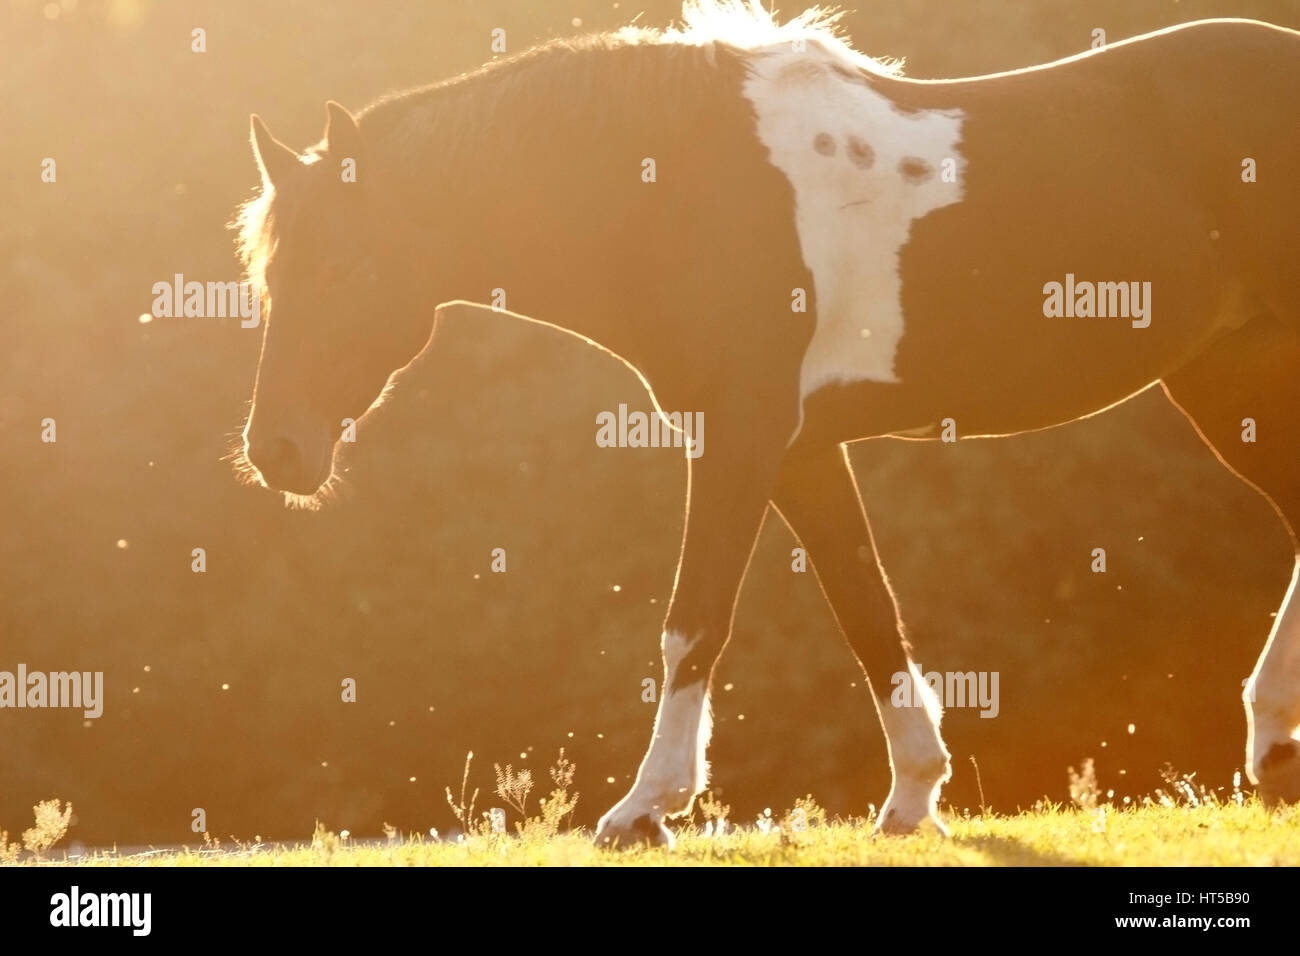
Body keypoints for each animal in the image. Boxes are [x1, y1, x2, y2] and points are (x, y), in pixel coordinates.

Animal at [235, 1, 1300, 846]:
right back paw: (1272, 746)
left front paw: (646, 808)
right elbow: (867, 612)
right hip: (1229, 384)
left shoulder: (737, 438)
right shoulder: (803, 454)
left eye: (345, 266)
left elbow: (694, 620)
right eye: (272, 271)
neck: (673, 191)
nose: (276, 449)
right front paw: (912, 799)